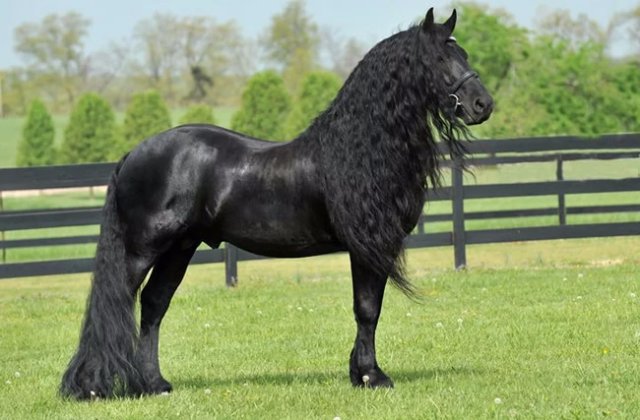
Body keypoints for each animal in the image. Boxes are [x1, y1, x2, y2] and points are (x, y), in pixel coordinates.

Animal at [60, 7, 493, 400]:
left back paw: (154, 384)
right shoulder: (367, 248)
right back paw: (94, 386)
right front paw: (372, 377)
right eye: (439, 59)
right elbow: (367, 308)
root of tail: (133, 154)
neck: (357, 150)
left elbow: (368, 310)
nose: (482, 105)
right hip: (142, 249)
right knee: (115, 303)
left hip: (179, 248)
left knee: (153, 306)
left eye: (465, 54)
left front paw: (359, 373)